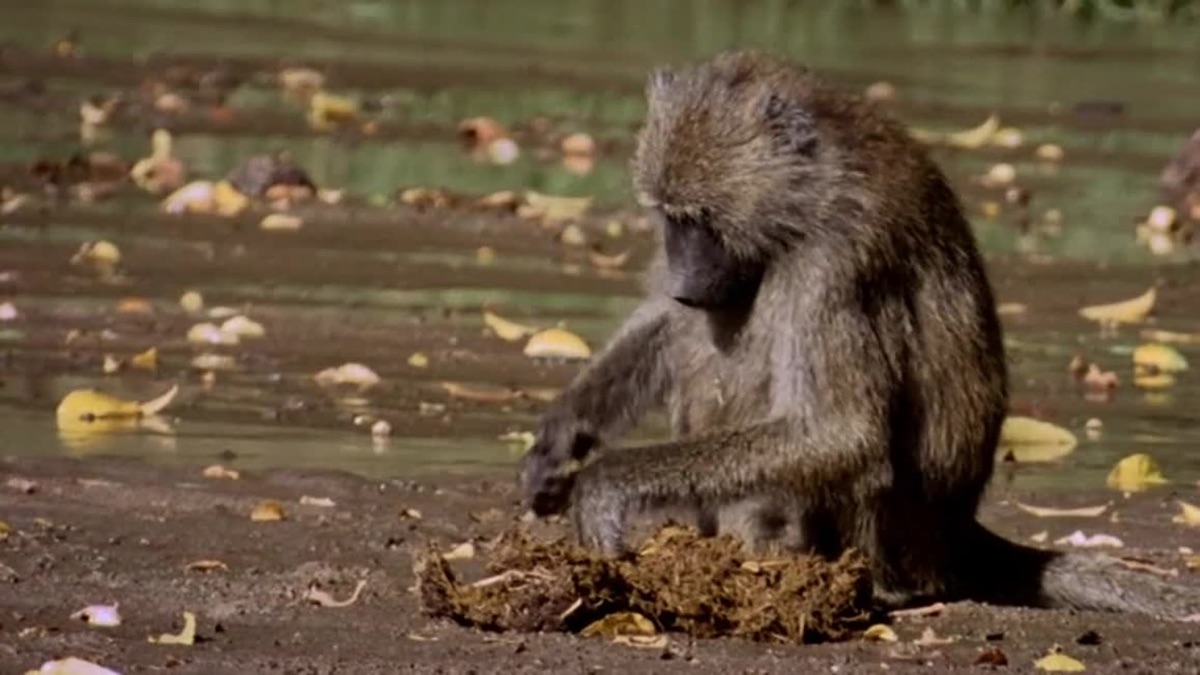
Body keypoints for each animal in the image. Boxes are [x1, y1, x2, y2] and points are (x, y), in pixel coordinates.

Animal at [519, 49, 1200, 619]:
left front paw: (604, 483)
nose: (687, 280)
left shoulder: (834, 257)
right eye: (668, 217)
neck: (807, 183)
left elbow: (841, 431)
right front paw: (562, 436)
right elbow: (664, 318)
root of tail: (955, 536)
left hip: (887, 539)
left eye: (702, 220)